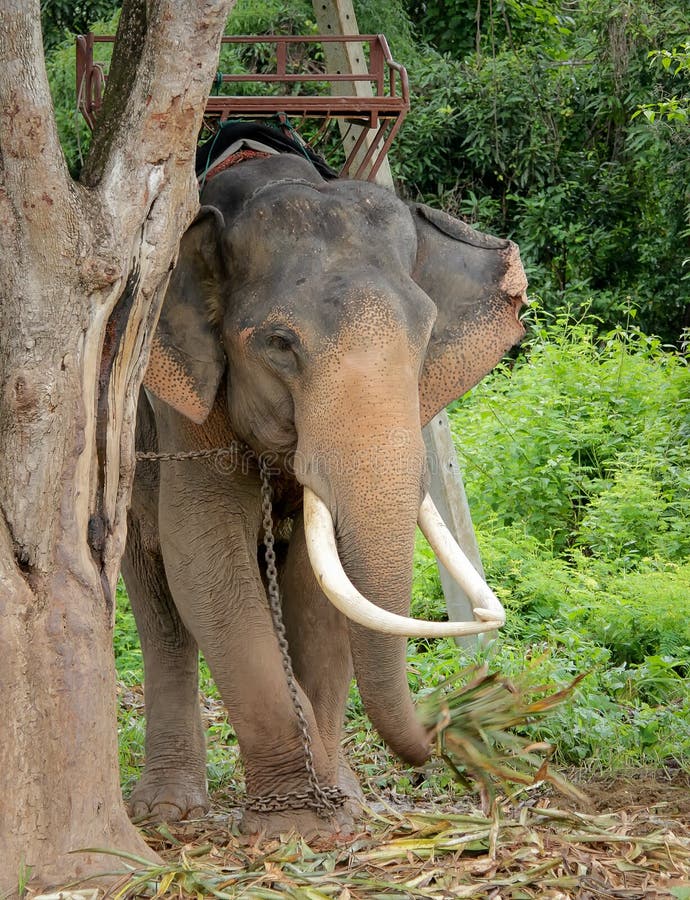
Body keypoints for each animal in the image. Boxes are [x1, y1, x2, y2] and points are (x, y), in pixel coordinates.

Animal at [122, 149, 528, 838]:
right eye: (279, 345)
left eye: (426, 339)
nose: (449, 722)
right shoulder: (184, 404)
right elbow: (204, 556)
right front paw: (300, 828)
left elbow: (320, 596)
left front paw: (340, 805)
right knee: (157, 602)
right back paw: (167, 813)